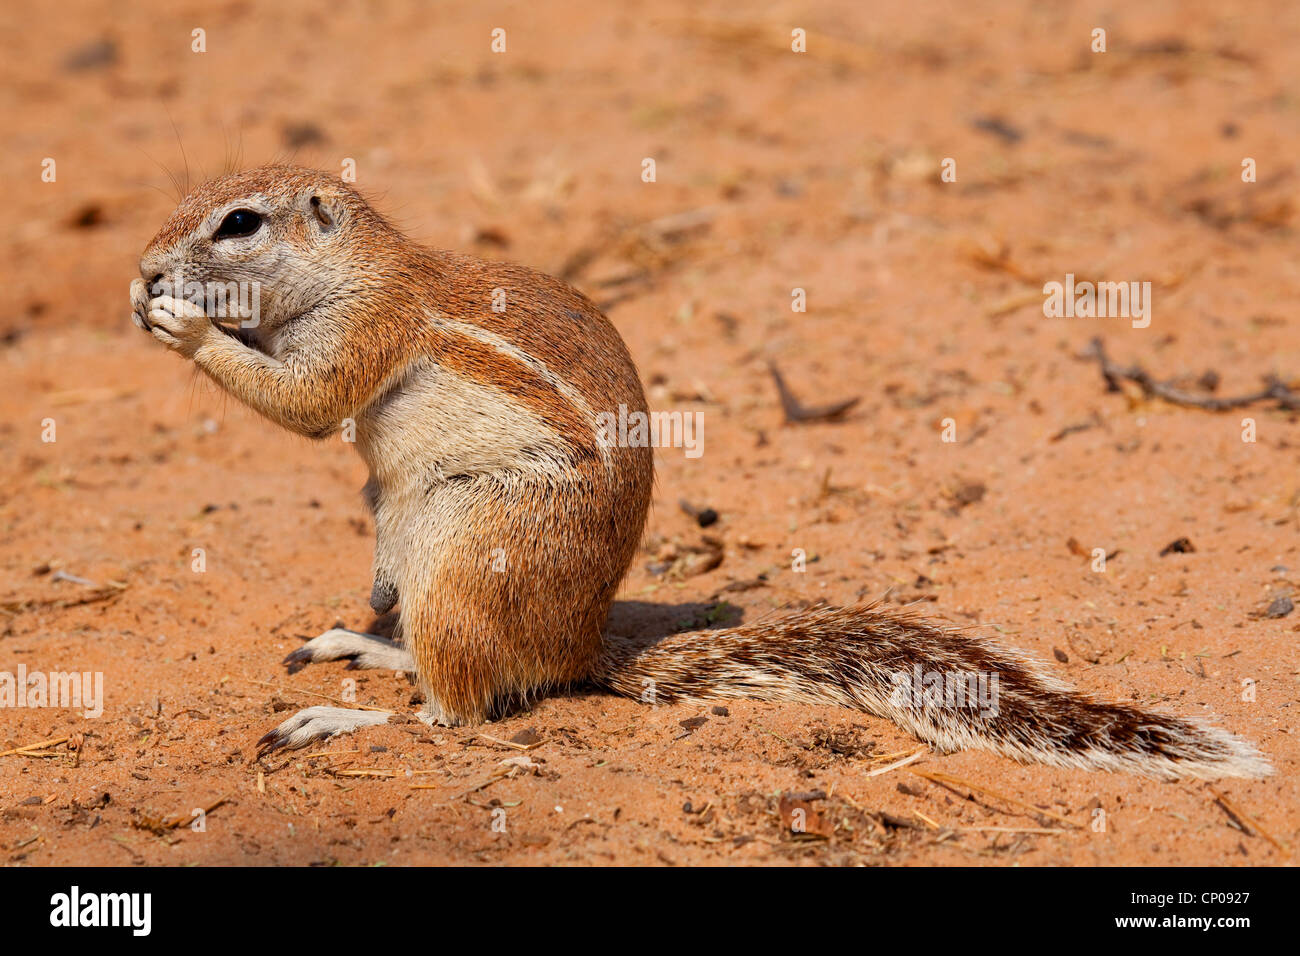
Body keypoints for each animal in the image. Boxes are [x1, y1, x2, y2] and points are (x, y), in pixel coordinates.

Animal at [131, 164, 1270, 780]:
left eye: (238, 223)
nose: (142, 272)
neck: (355, 266)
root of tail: (581, 644)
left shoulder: (369, 329)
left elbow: (306, 401)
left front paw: (185, 327)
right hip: (413, 534)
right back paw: (366, 642)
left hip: (464, 548)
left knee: (459, 715)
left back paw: (340, 714)